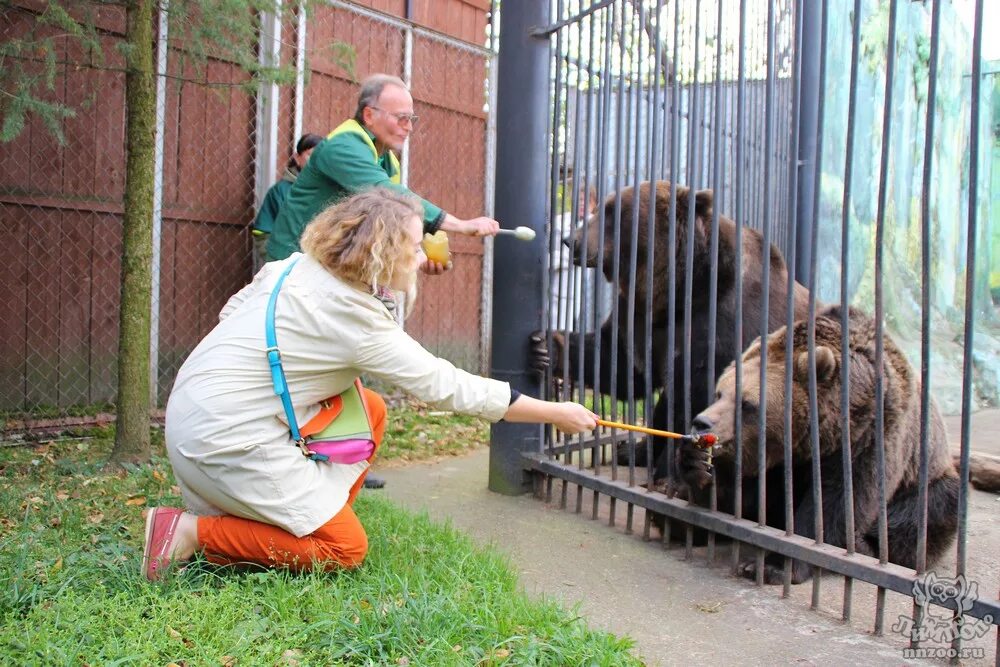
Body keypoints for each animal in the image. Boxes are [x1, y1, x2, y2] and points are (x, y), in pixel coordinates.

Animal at [536, 180, 808, 482]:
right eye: (601, 210)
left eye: (612, 212)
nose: (571, 241)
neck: (672, 291)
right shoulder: (639, 318)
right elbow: (619, 363)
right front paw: (545, 347)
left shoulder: (721, 322)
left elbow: (696, 393)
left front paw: (675, 470)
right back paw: (631, 450)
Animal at [680, 304, 960, 584]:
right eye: (720, 393)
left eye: (747, 404)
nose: (702, 422)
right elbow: (742, 496)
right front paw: (694, 462)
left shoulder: (870, 433)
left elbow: (838, 500)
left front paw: (773, 565)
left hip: (925, 481)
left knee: (929, 512)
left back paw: (866, 546)